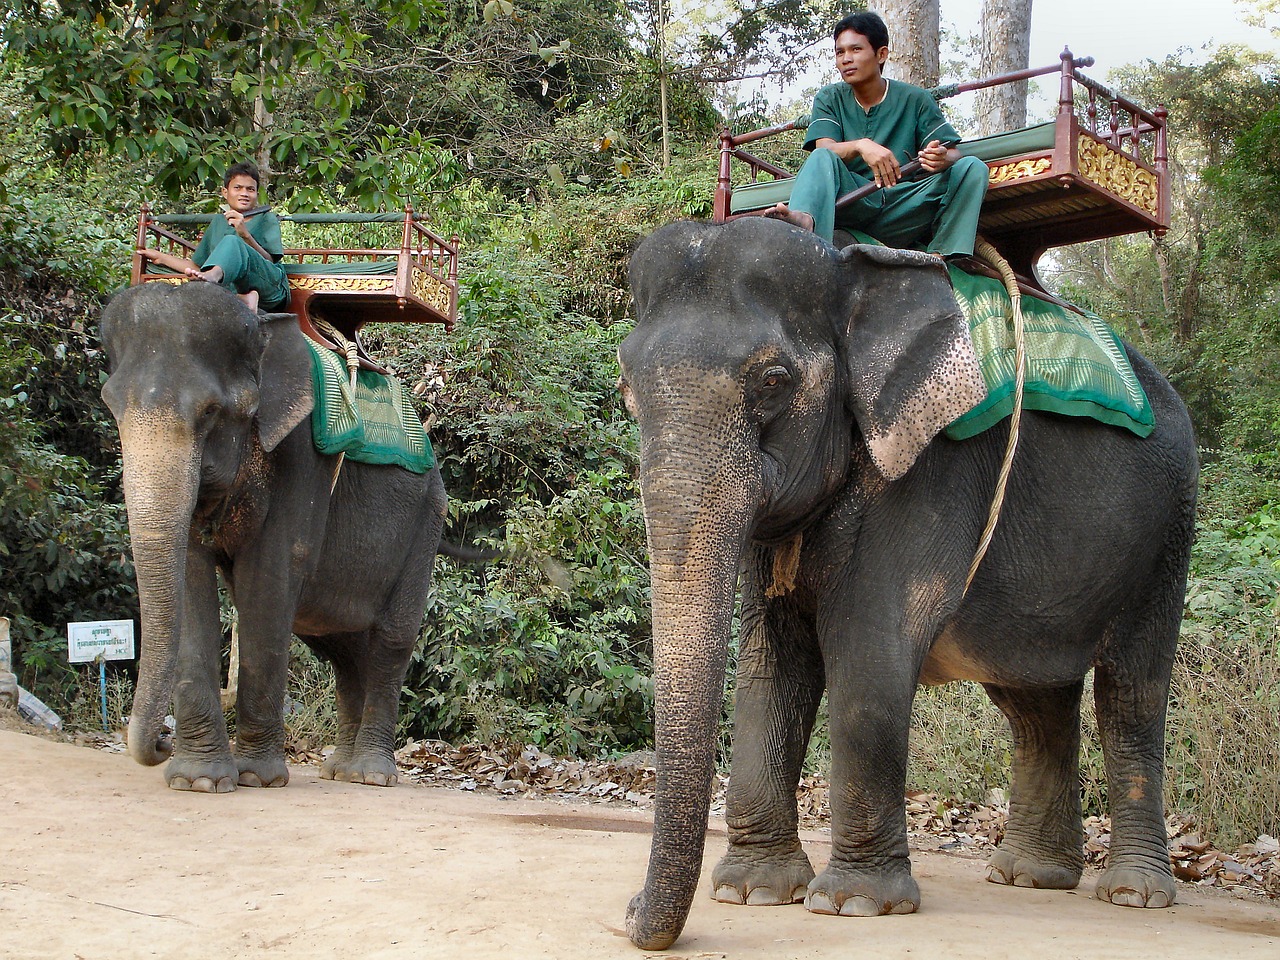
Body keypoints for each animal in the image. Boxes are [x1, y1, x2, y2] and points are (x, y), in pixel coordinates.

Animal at [100, 280, 448, 792]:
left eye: (211, 412)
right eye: (112, 408)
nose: (161, 741)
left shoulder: (303, 457)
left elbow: (269, 577)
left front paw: (255, 778)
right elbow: (191, 579)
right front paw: (198, 782)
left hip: (425, 522)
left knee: (391, 641)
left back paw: (369, 775)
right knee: (341, 647)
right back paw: (339, 771)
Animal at [616, 217, 1198, 949]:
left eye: (773, 381)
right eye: (627, 388)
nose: (628, 912)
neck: (848, 269)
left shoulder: (932, 471)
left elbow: (868, 645)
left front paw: (854, 903)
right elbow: (772, 658)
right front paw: (754, 891)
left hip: (1166, 533)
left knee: (1131, 693)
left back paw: (1133, 893)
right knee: (1035, 702)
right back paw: (1030, 876)